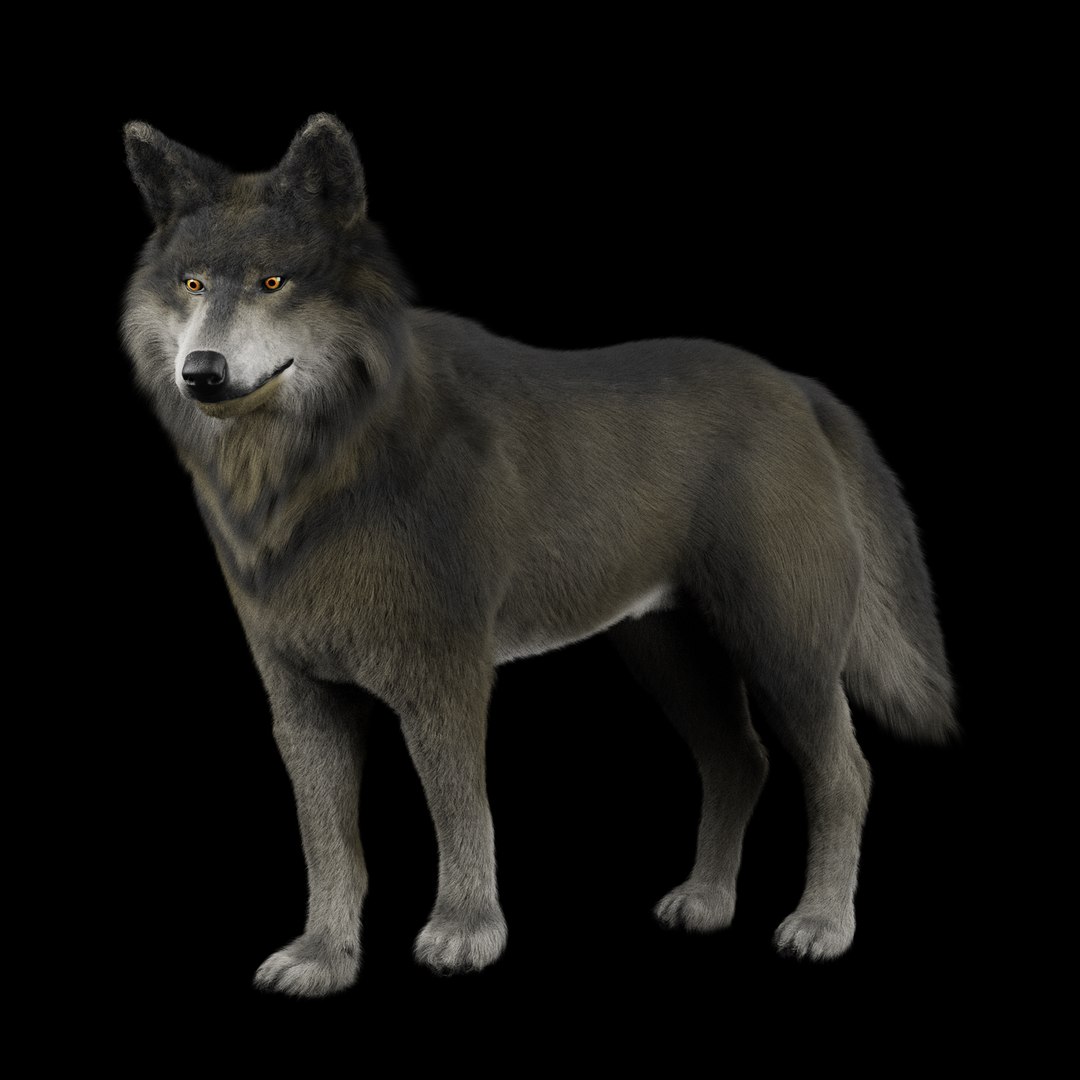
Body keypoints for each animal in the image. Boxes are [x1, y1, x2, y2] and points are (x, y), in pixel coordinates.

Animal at [122, 113, 956, 996]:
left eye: (274, 283)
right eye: (193, 285)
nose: (201, 373)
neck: (311, 473)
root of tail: (799, 388)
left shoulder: (443, 681)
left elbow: (460, 812)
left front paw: (464, 933)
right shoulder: (302, 698)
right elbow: (329, 845)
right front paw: (322, 957)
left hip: (781, 650)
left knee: (843, 773)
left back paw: (822, 925)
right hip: (668, 655)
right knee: (741, 762)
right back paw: (704, 902)